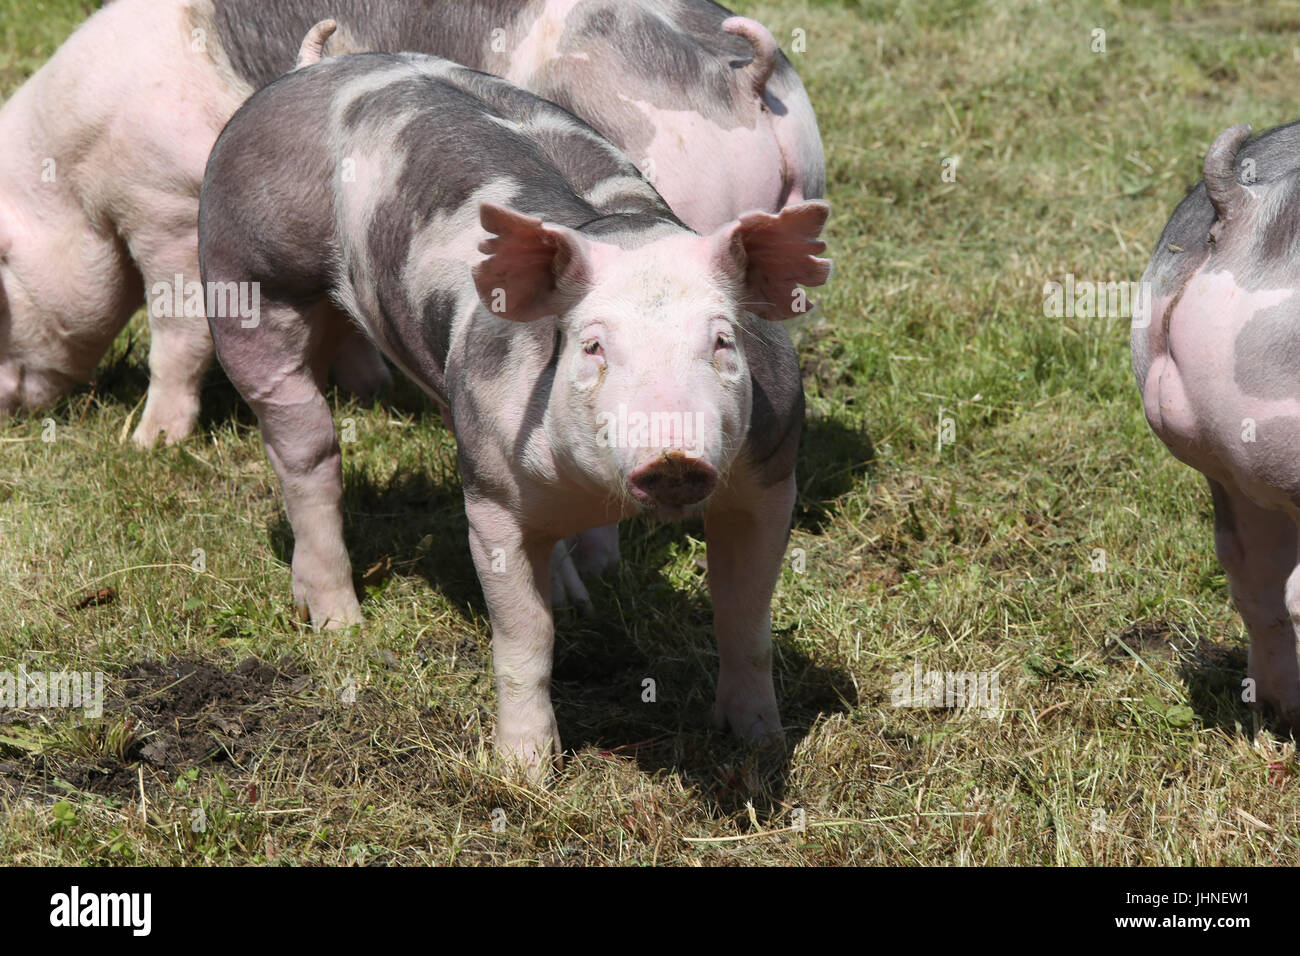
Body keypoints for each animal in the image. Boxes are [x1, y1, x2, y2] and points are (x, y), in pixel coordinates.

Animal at [0, 0, 823, 455]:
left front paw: (147, 446)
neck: (70, 177)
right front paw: (366, 390)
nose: (11, 410)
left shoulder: (164, 206)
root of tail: (741, 79)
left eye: (2, 295)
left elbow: (178, 336)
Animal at [197, 51, 831, 777]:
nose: (673, 454)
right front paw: (524, 772)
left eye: (722, 340)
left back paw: (573, 595)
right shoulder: (491, 491)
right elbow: (525, 637)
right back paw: (340, 627)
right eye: (592, 346)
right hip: (246, 277)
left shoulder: (770, 477)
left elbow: (745, 618)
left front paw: (760, 745)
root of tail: (311, 69)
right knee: (306, 453)